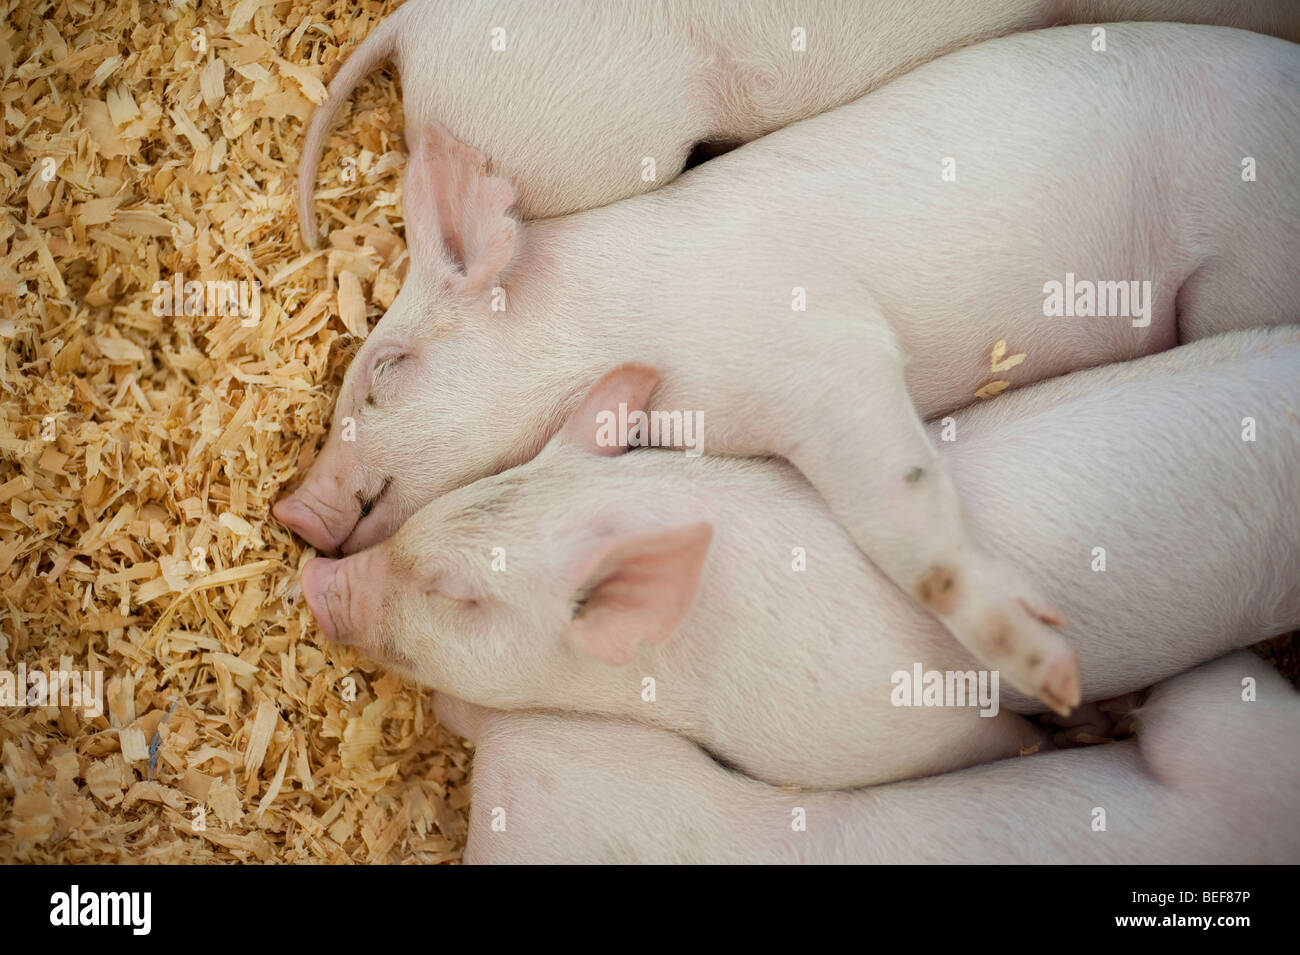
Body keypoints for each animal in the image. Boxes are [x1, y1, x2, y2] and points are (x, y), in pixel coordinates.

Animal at [277, 23, 1300, 712]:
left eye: (386, 368)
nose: (293, 510)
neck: (626, 324)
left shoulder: (826, 351)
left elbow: (908, 520)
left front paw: (1057, 675)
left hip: (1244, 269)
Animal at [298, 326, 1300, 789]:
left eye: (456, 594)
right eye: (451, 505)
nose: (315, 574)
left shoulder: (897, 729)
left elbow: (1001, 740)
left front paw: (1073, 718)